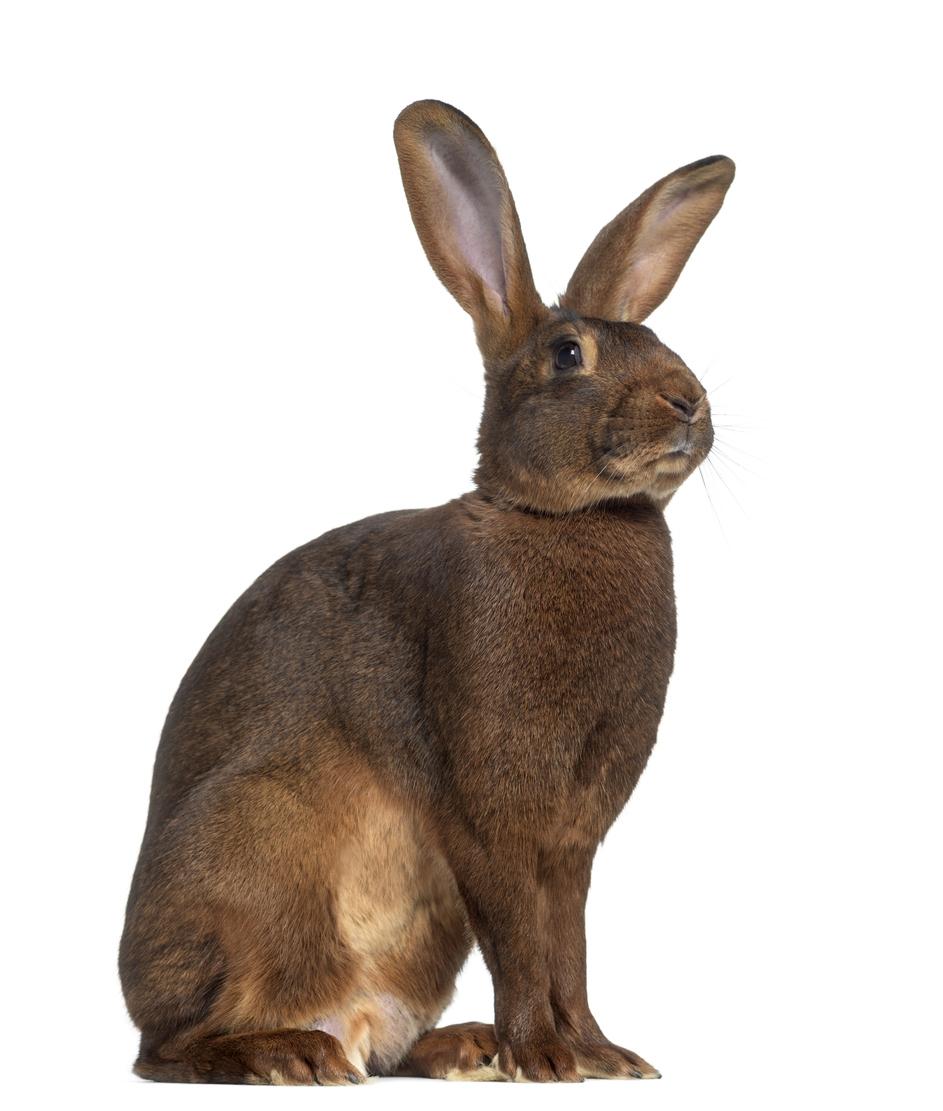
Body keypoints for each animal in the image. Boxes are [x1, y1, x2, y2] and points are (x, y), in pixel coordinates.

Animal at [119, 98, 734, 1085]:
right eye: (568, 353)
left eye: (661, 344)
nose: (688, 399)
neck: (559, 516)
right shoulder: (484, 813)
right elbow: (522, 940)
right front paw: (546, 1057)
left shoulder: (570, 845)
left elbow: (568, 945)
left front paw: (601, 1054)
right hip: (250, 854)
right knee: (168, 1047)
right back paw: (290, 1053)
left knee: (386, 1045)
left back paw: (462, 1047)